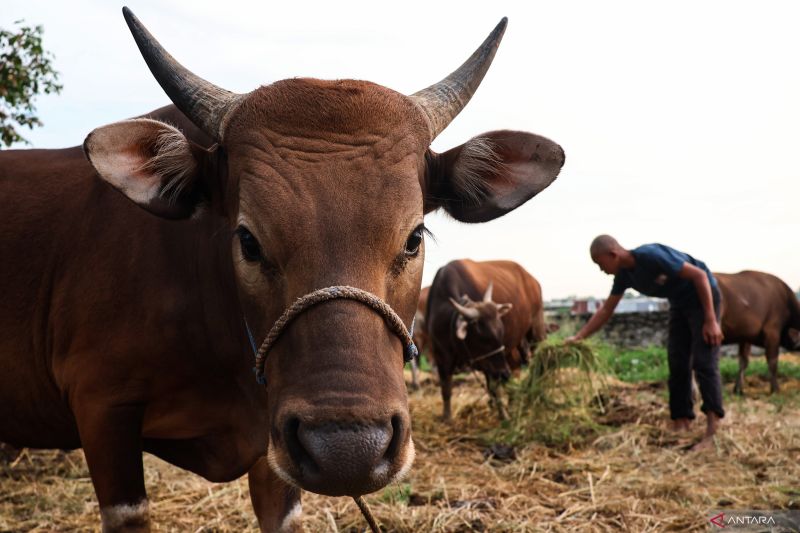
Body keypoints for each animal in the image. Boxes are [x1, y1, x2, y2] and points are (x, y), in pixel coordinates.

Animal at [426, 259, 550, 420]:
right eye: (483, 338)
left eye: (500, 332)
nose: (504, 373)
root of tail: (532, 280)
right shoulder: (441, 358)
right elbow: (446, 389)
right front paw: (447, 417)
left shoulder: (491, 364)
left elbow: (494, 389)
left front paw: (504, 415)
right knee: (515, 370)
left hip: (536, 329)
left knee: (541, 363)